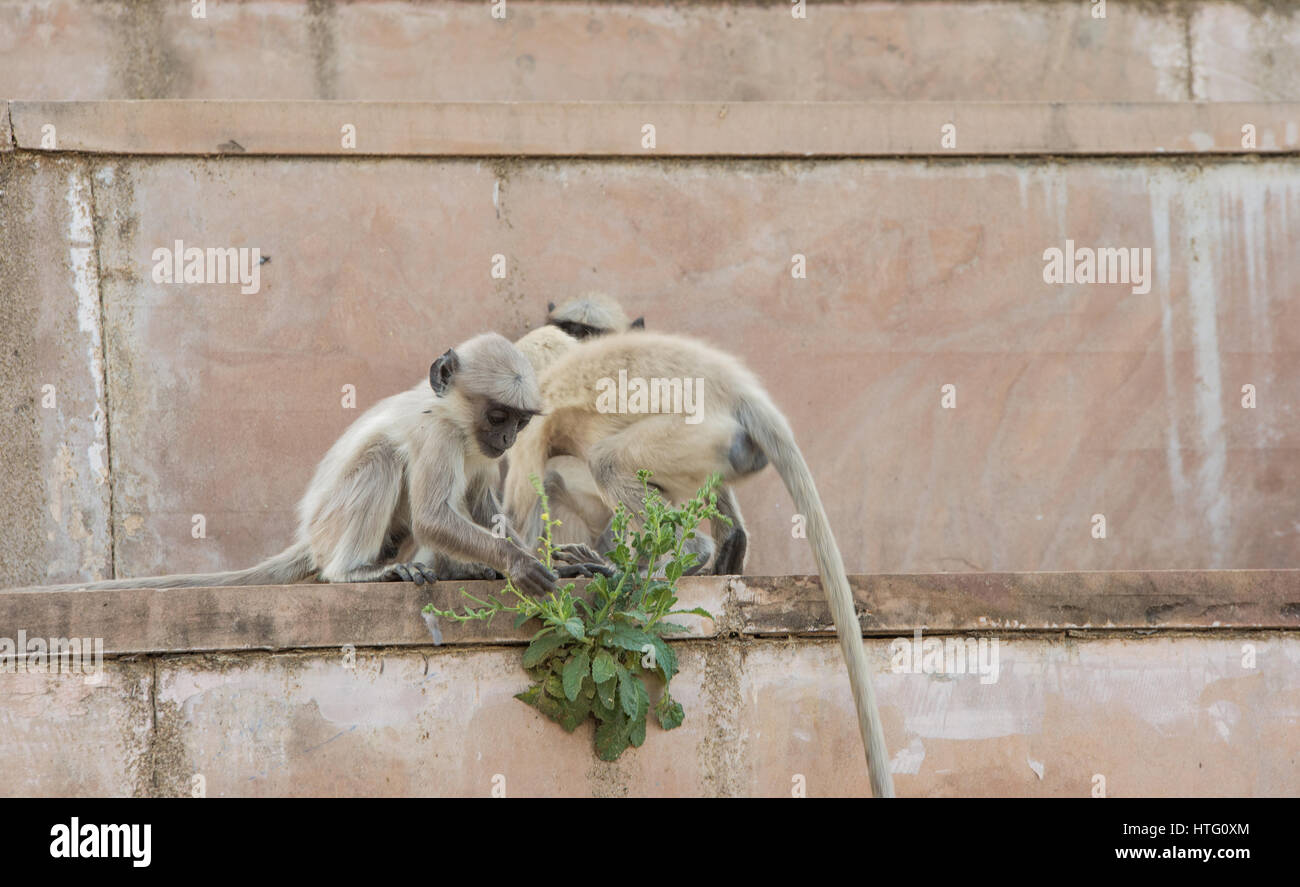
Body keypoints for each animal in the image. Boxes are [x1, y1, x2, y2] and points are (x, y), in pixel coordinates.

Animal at [28, 333, 605, 595]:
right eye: (499, 414)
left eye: (520, 422)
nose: (506, 436)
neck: (454, 418)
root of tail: (313, 538)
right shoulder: (440, 434)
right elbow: (434, 517)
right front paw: (519, 564)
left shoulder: (479, 451)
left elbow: (484, 506)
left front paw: (553, 559)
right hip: (335, 527)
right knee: (382, 459)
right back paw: (354, 572)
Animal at [502, 331, 894, 797]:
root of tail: (738, 387)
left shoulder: (529, 431)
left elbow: (517, 518)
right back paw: (723, 548)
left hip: (691, 432)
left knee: (607, 463)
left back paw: (658, 565)